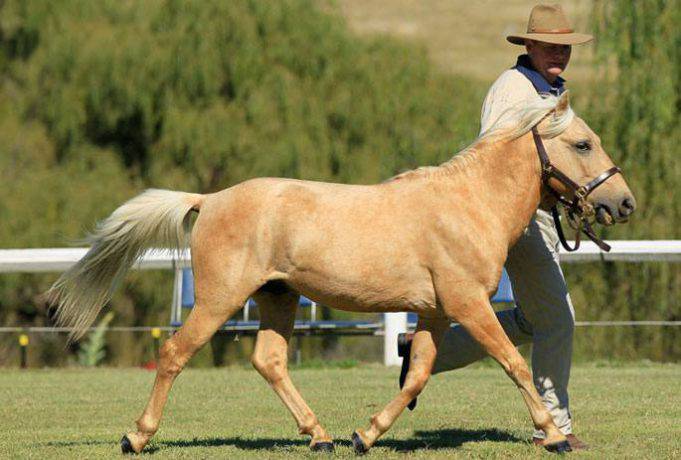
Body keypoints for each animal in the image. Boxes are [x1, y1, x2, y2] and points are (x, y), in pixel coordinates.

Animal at [48, 91, 635, 455]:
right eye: (583, 143)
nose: (623, 203)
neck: (467, 204)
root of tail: (209, 200)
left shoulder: (436, 313)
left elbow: (419, 372)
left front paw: (365, 434)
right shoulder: (468, 305)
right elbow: (513, 362)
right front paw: (553, 436)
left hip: (278, 297)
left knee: (269, 361)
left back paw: (321, 435)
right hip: (219, 300)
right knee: (173, 354)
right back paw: (136, 437)